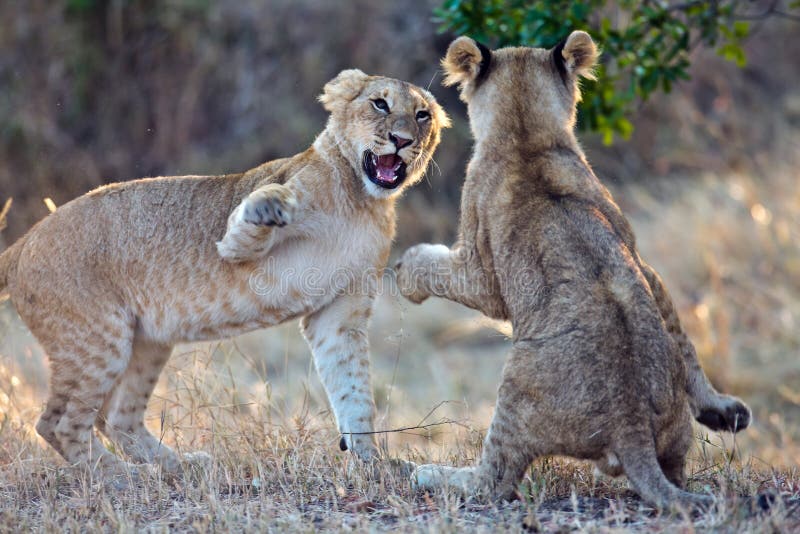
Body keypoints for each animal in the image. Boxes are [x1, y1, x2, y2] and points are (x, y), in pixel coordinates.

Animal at [0, 69, 449, 478]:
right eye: (380, 103)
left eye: (422, 115)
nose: (403, 140)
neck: (360, 201)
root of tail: (22, 243)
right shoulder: (246, 235)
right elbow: (254, 215)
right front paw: (268, 208)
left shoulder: (341, 313)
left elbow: (355, 392)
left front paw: (375, 463)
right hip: (96, 340)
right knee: (57, 423)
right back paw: (121, 477)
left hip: (143, 342)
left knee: (114, 419)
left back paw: (178, 466)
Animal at [395, 33, 750, 508]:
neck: (526, 134)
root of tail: (631, 425)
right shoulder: (642, 260)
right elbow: (680, 330)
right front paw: (720, 407)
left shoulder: (479, 269)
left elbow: (438, 268)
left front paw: (404, 271)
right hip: (671, 434)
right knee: (676, 471)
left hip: (516, 385)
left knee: (494, 480)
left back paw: (430, 474)